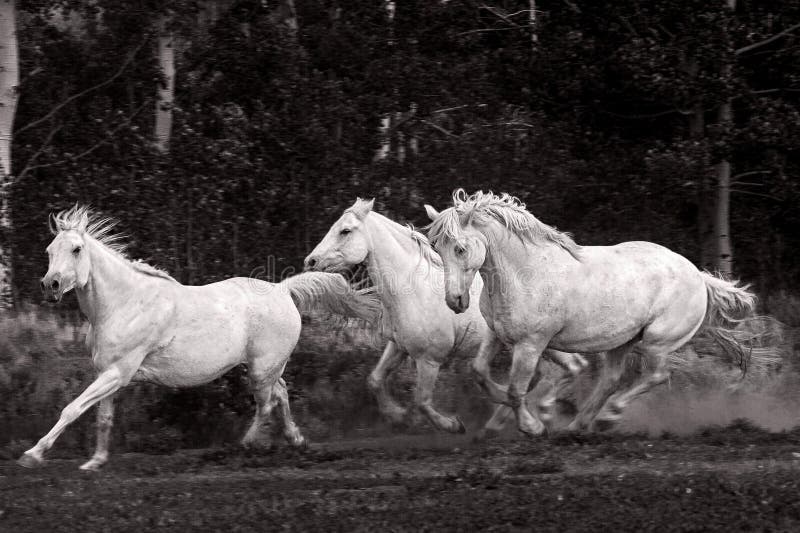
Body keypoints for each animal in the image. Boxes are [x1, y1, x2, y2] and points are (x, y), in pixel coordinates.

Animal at [18, 205, 380, 470]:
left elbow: (72, 409)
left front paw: (33, 455)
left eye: (77, 249)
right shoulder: (109, 373)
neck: (124, 303)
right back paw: (296, 441)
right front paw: (95, 462)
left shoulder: (117, 373)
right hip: (268, 368)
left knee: (267, 403)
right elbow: (103, 417)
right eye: (50, 250)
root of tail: (282, 289)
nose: (50, 285)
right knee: (281, 394)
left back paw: (244, 446)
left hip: (261, 368)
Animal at [304, 198, 588, 436]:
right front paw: (396, 415)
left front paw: (453, 425)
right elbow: (374, 380)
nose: (311, 261)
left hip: (540, 344)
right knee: (569, 368)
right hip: (540, 346)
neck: (410, 288)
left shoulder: (429, 358)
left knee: (566, 370)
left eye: (345, 231)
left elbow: (422, 400)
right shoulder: (398, 346)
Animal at [425, 189, 766, 435]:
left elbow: (516, 388)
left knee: (656, 375)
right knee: (611, 380)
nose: (455, 300)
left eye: (460, 248)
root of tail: (698, 275)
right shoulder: (498, 335)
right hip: (622, 343)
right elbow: (480, 372)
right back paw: (577, 425)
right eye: (436, 246)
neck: (525, 274)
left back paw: (607, 417)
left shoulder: (532, 344)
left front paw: (533, 426)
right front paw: (504, 412)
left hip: (655, 342)